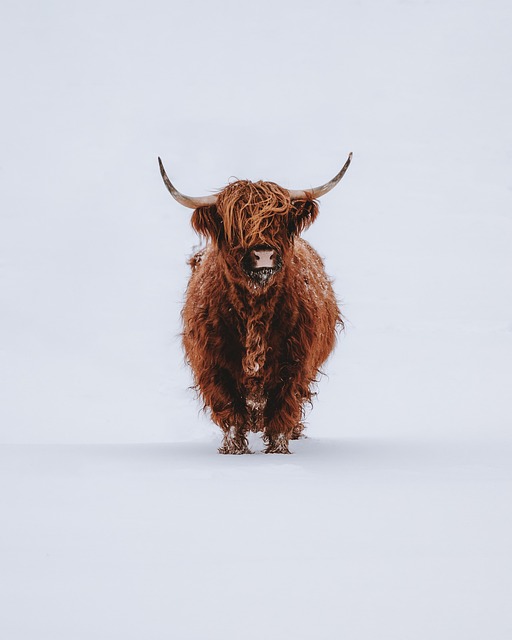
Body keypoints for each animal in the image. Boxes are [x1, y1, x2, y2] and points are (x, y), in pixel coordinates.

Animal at [158, 153, 352, 454]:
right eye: (235, 226)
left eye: (279, 221)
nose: (263, 254)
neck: (255, 309)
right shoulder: (213, 364)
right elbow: (229, 410)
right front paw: (234, 450)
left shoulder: (295, 363)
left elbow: (284, 407)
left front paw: (278, 450)